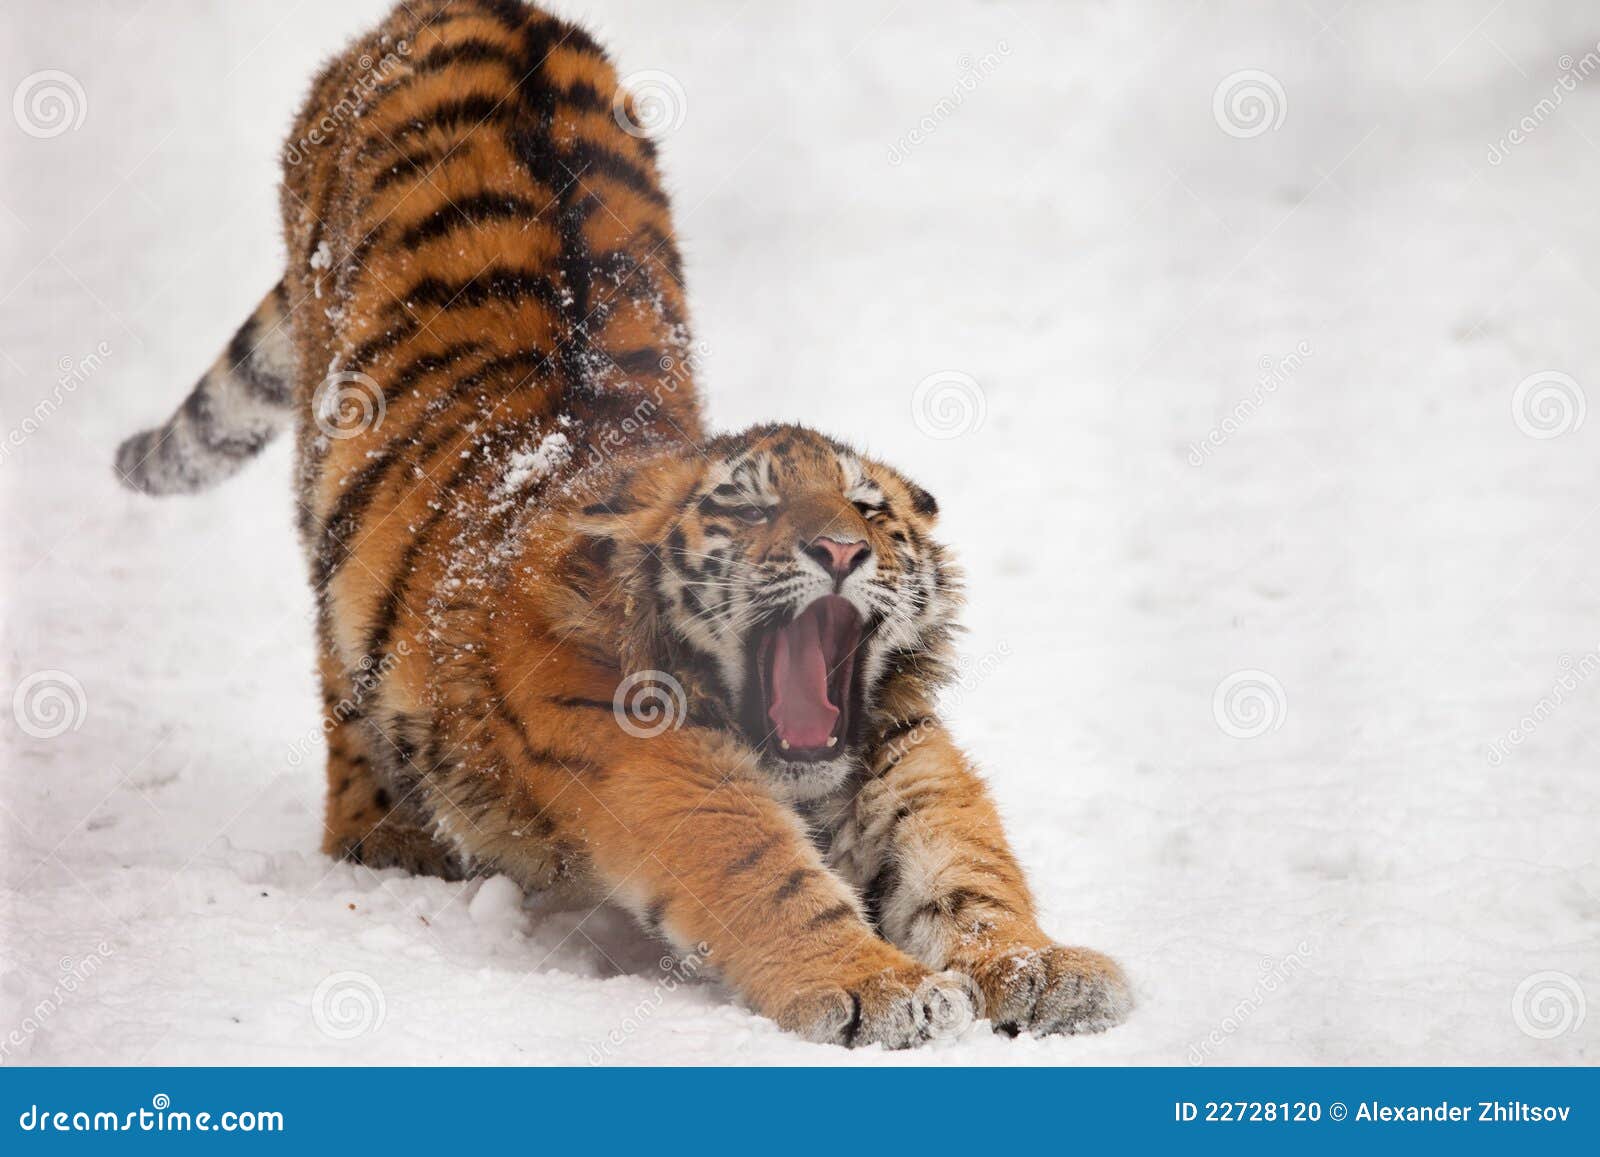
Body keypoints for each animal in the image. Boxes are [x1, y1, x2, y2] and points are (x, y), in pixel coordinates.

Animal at [114, 0, 1131, 1048]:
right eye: (753, 504)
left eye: (868, 508)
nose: (842, 551)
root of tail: (473, 8)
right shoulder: (646, 755)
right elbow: (766, 870)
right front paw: (881, 987)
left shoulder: (903, 745)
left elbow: (966, 859)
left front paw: (1039, 967)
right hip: (329, 511)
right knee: (342, 682)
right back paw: (385, 837)